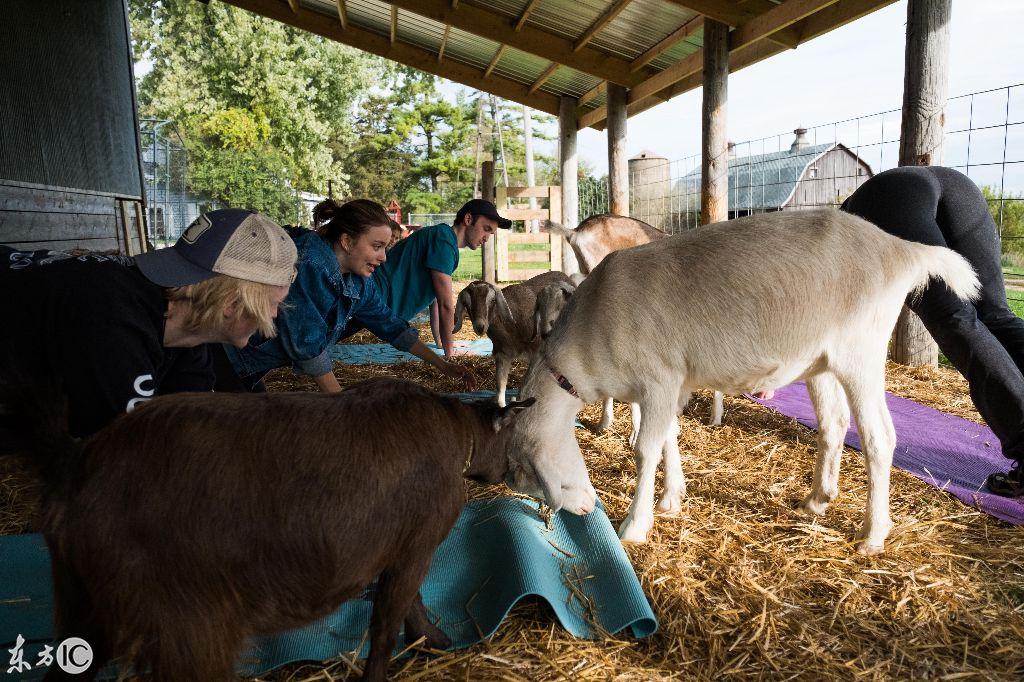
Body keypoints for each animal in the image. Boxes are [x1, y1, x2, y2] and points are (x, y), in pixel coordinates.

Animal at [19, 376, 532, 679]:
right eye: (511, 437)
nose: (512, 473)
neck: (458, 435)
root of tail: (76, 460)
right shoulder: (416, 545)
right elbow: (388, 621)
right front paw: (424, 645)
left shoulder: (398, 547)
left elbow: (408, 602)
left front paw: (432, 640)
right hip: (188, 623)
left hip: (83, 603)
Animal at [503, 209, 974, 557]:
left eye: (528, 473)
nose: (581, 510)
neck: (589, 340)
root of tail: (901, 250)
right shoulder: (671, 385)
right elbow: (670, 437)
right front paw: (672, 498)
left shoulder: (659, 378)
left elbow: (645, 450)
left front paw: (636, 524)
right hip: (821, 362)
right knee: (834, 423)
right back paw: (817, 500)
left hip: (860, 352)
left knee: (879, 436)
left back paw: (872, 535)